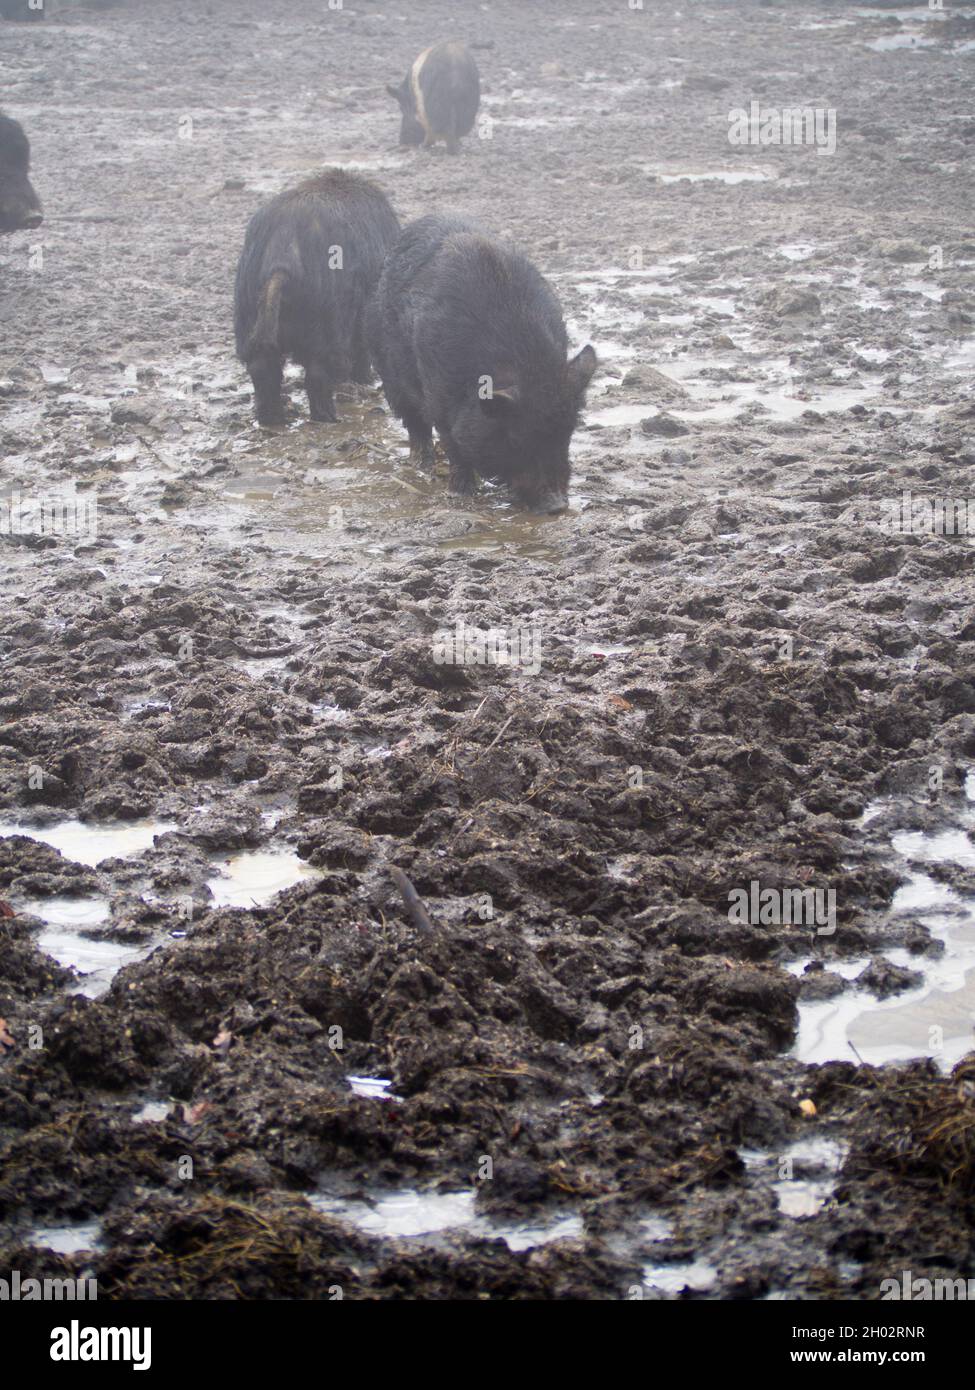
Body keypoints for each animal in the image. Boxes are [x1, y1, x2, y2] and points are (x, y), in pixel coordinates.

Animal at [234, 169, 400, 427]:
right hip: (326, 327)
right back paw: (329, 417)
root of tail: (283, 251)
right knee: (318, 373)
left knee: (263, 369)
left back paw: (273, 420)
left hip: (248, 317)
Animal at [369, 215, 597, 514]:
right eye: (515, 438)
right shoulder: (439, 394)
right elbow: (452, 442)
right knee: (414, 423)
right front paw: (461, 493)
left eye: (567, 433)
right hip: (388, 370)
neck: (521, 362)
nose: (557, 506)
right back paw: (422, 466)